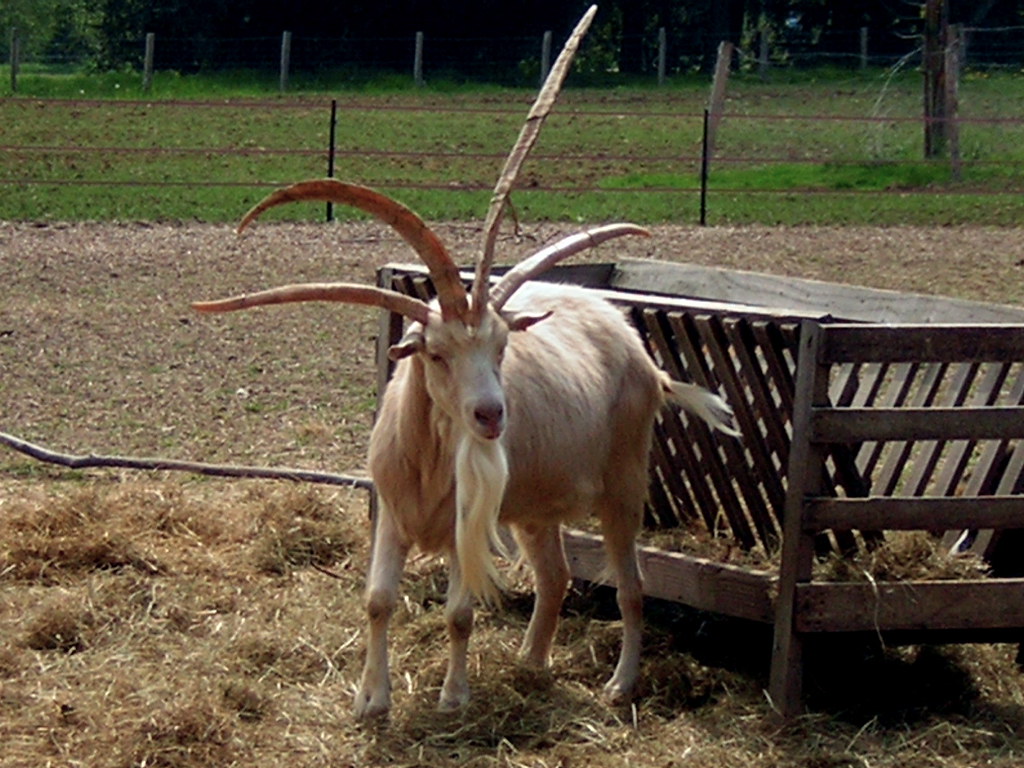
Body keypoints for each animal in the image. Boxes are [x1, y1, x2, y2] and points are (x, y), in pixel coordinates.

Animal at [192, 5, 738, 718]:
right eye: (435, 351)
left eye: (502, 346)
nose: (490, 416)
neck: (429, 457)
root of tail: (637, 351)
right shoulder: (393, 519)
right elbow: (377, 601)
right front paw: (372, 702)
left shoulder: (463, 530)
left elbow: (458, 613)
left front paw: (453, 699)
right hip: (535, 506)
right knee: (556, 576)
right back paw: (532, 664)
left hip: (623, 486)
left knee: (631, 585)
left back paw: (620, 684)